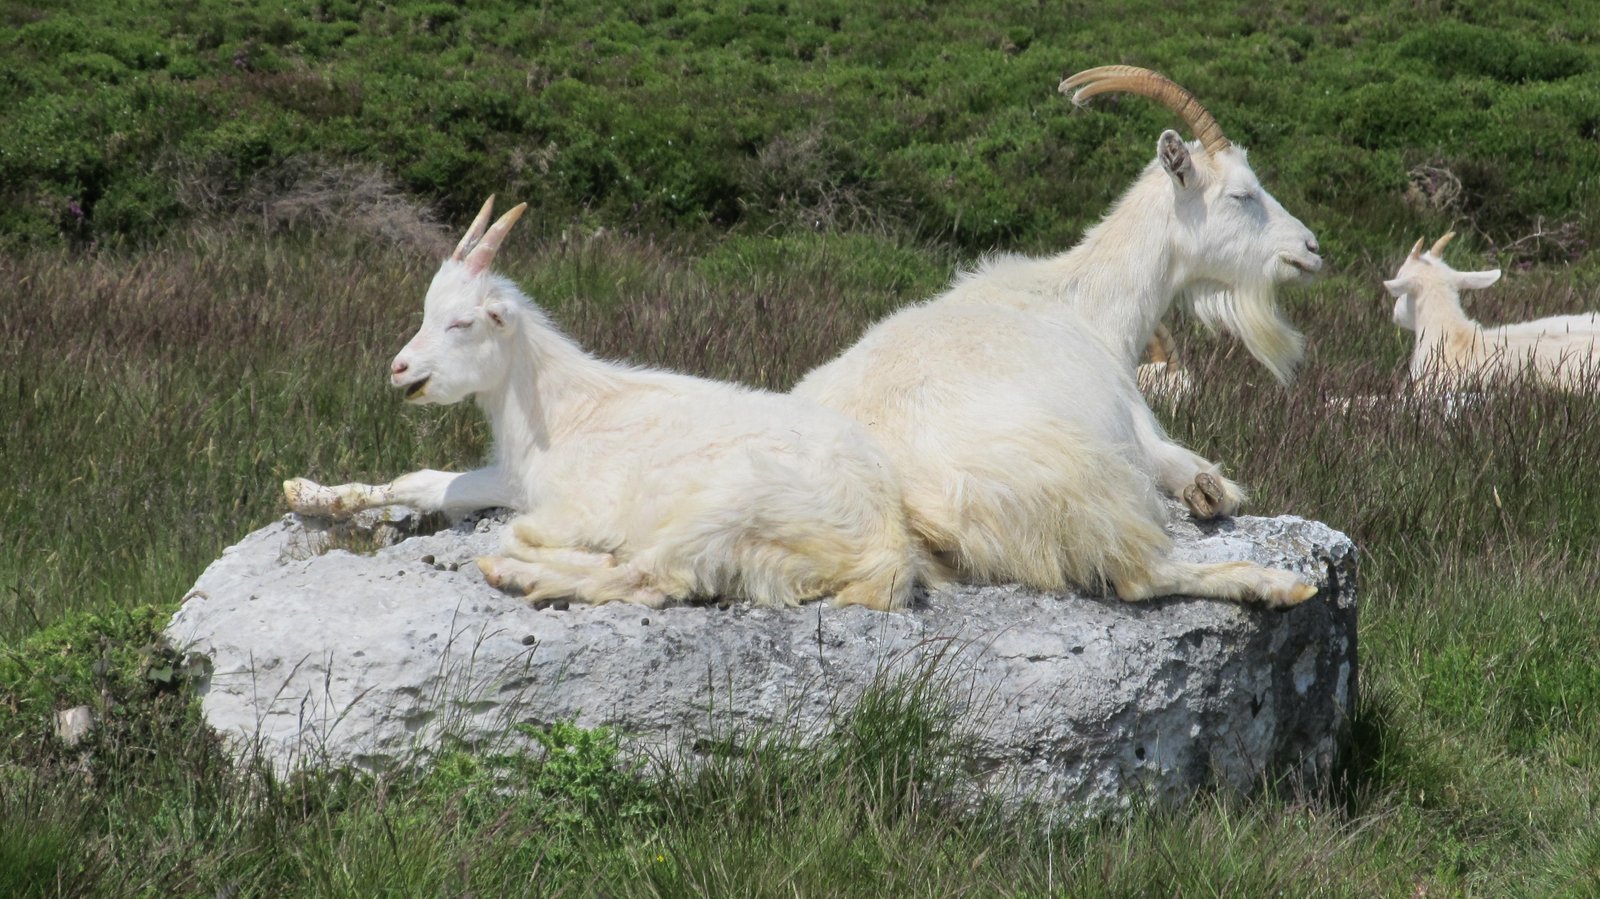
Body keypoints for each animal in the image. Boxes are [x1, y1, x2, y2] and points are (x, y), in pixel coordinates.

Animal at [284, 198, 928, 610]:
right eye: (424, 310)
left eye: (462, 322)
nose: (400, 369)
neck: (563, 410)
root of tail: (887, 544)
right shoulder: (516, 477)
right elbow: (423, 481)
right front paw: (309, 493)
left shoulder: (571, 503)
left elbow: (517, 524)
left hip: (732, 503)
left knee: (652, 576)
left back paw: (519, 575)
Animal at [791, 67, 1320, 607]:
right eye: (1242, 194)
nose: (1311, 248)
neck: (1083, 305)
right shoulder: (1137, 428)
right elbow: (1203, 477)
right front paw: (1210, 492)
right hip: (1076, 479)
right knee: (1137, 574)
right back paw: (1275, 582)